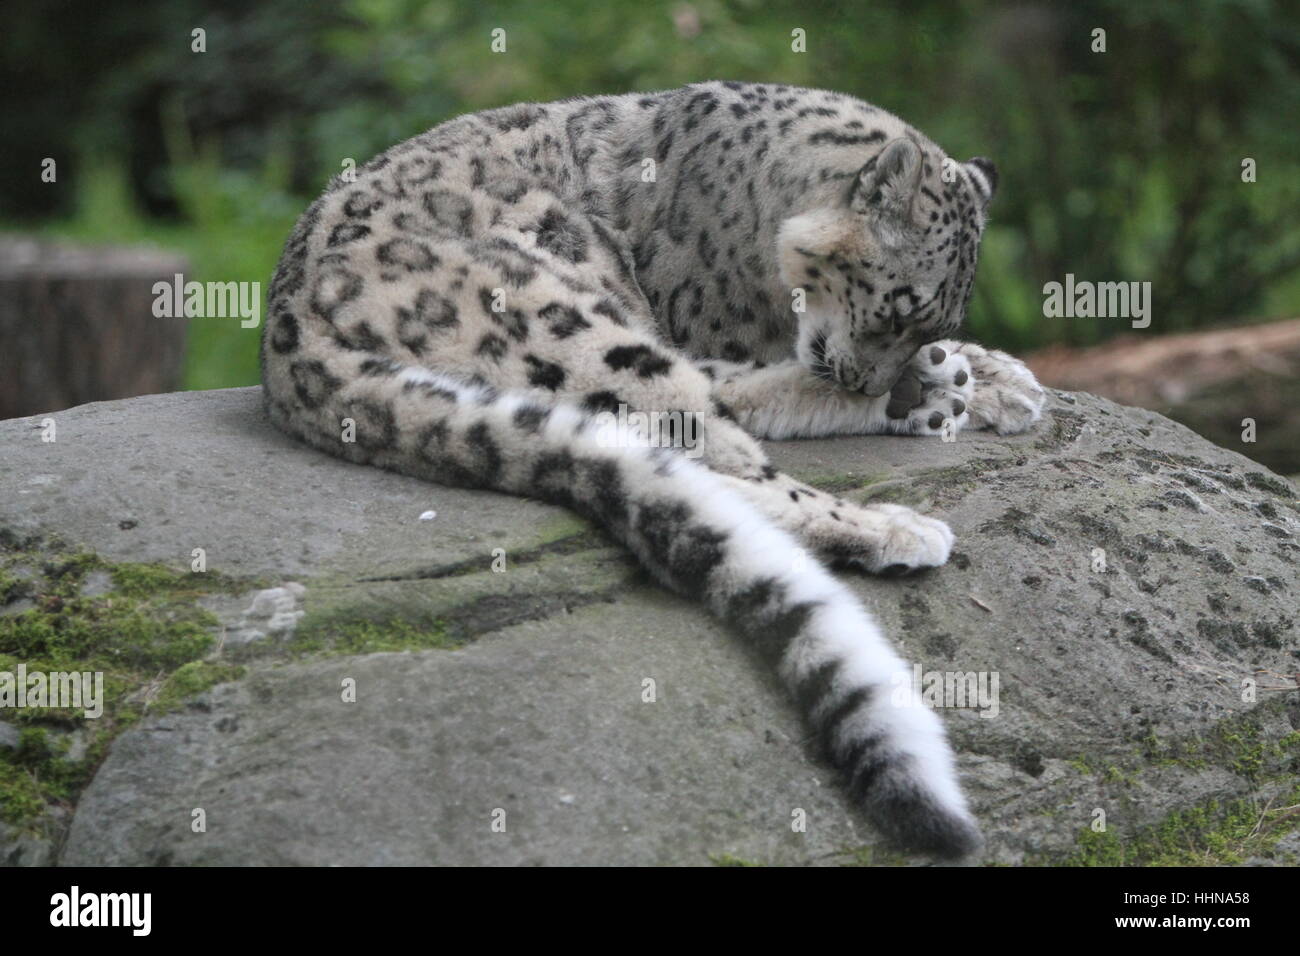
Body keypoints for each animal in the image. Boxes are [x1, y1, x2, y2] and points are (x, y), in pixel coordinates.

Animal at [260, 80, 1047, 859]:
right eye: (895, 308)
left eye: (930, 320)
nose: (867, 380)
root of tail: (286, 345)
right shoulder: (714, 328)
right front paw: (946, 388)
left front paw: (984, 377)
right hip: (583, 334)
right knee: (723, 466)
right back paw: (896, 522)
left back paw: (932, 401)